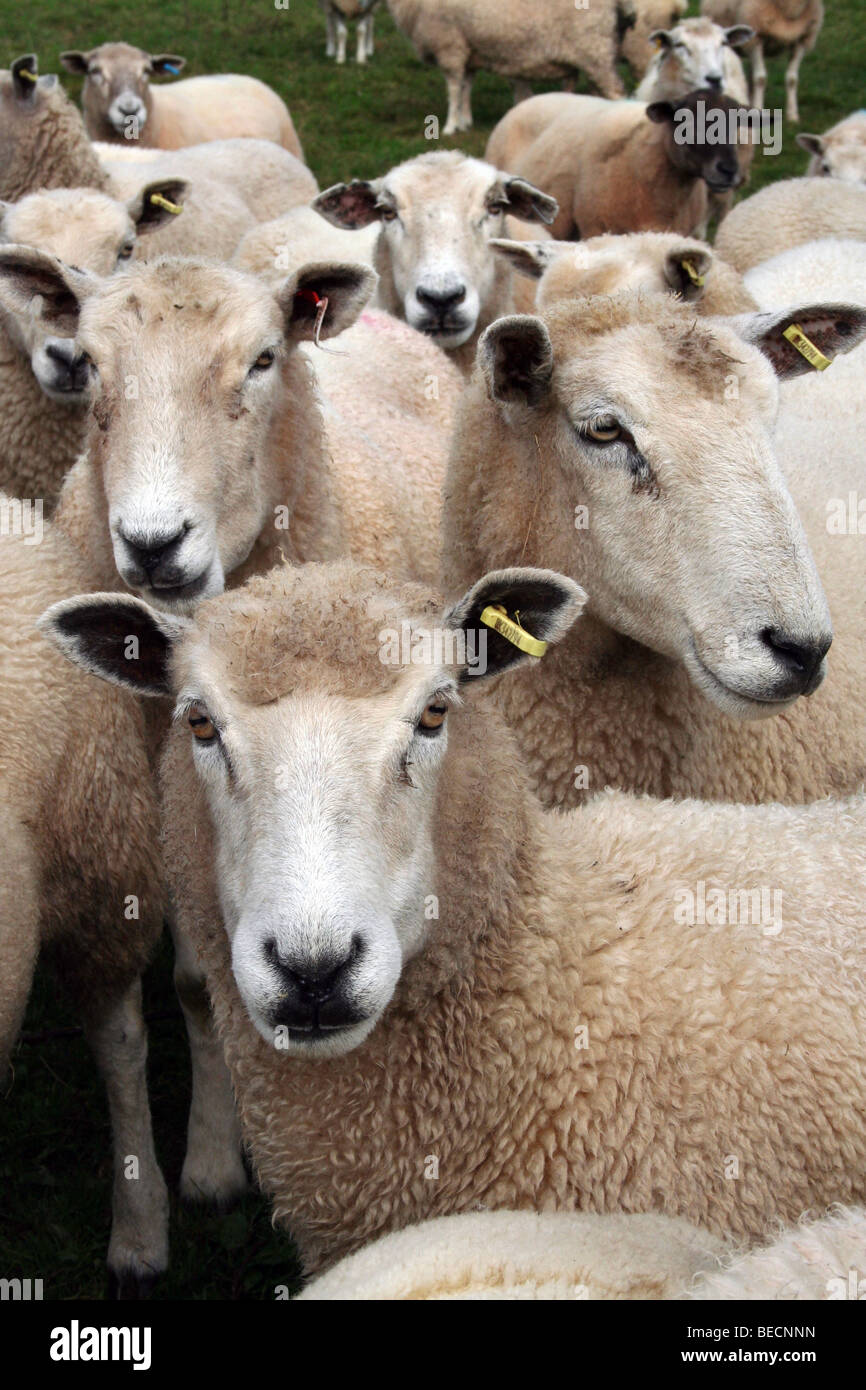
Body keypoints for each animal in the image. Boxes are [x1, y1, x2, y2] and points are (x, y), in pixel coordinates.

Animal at [385, 0, 628, 136]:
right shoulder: (468, 48)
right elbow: (465, 87)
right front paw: (465, 122)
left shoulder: (450, 46)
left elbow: (454, 90)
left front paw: (450, 126)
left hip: (595, 50)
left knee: (617, 94)